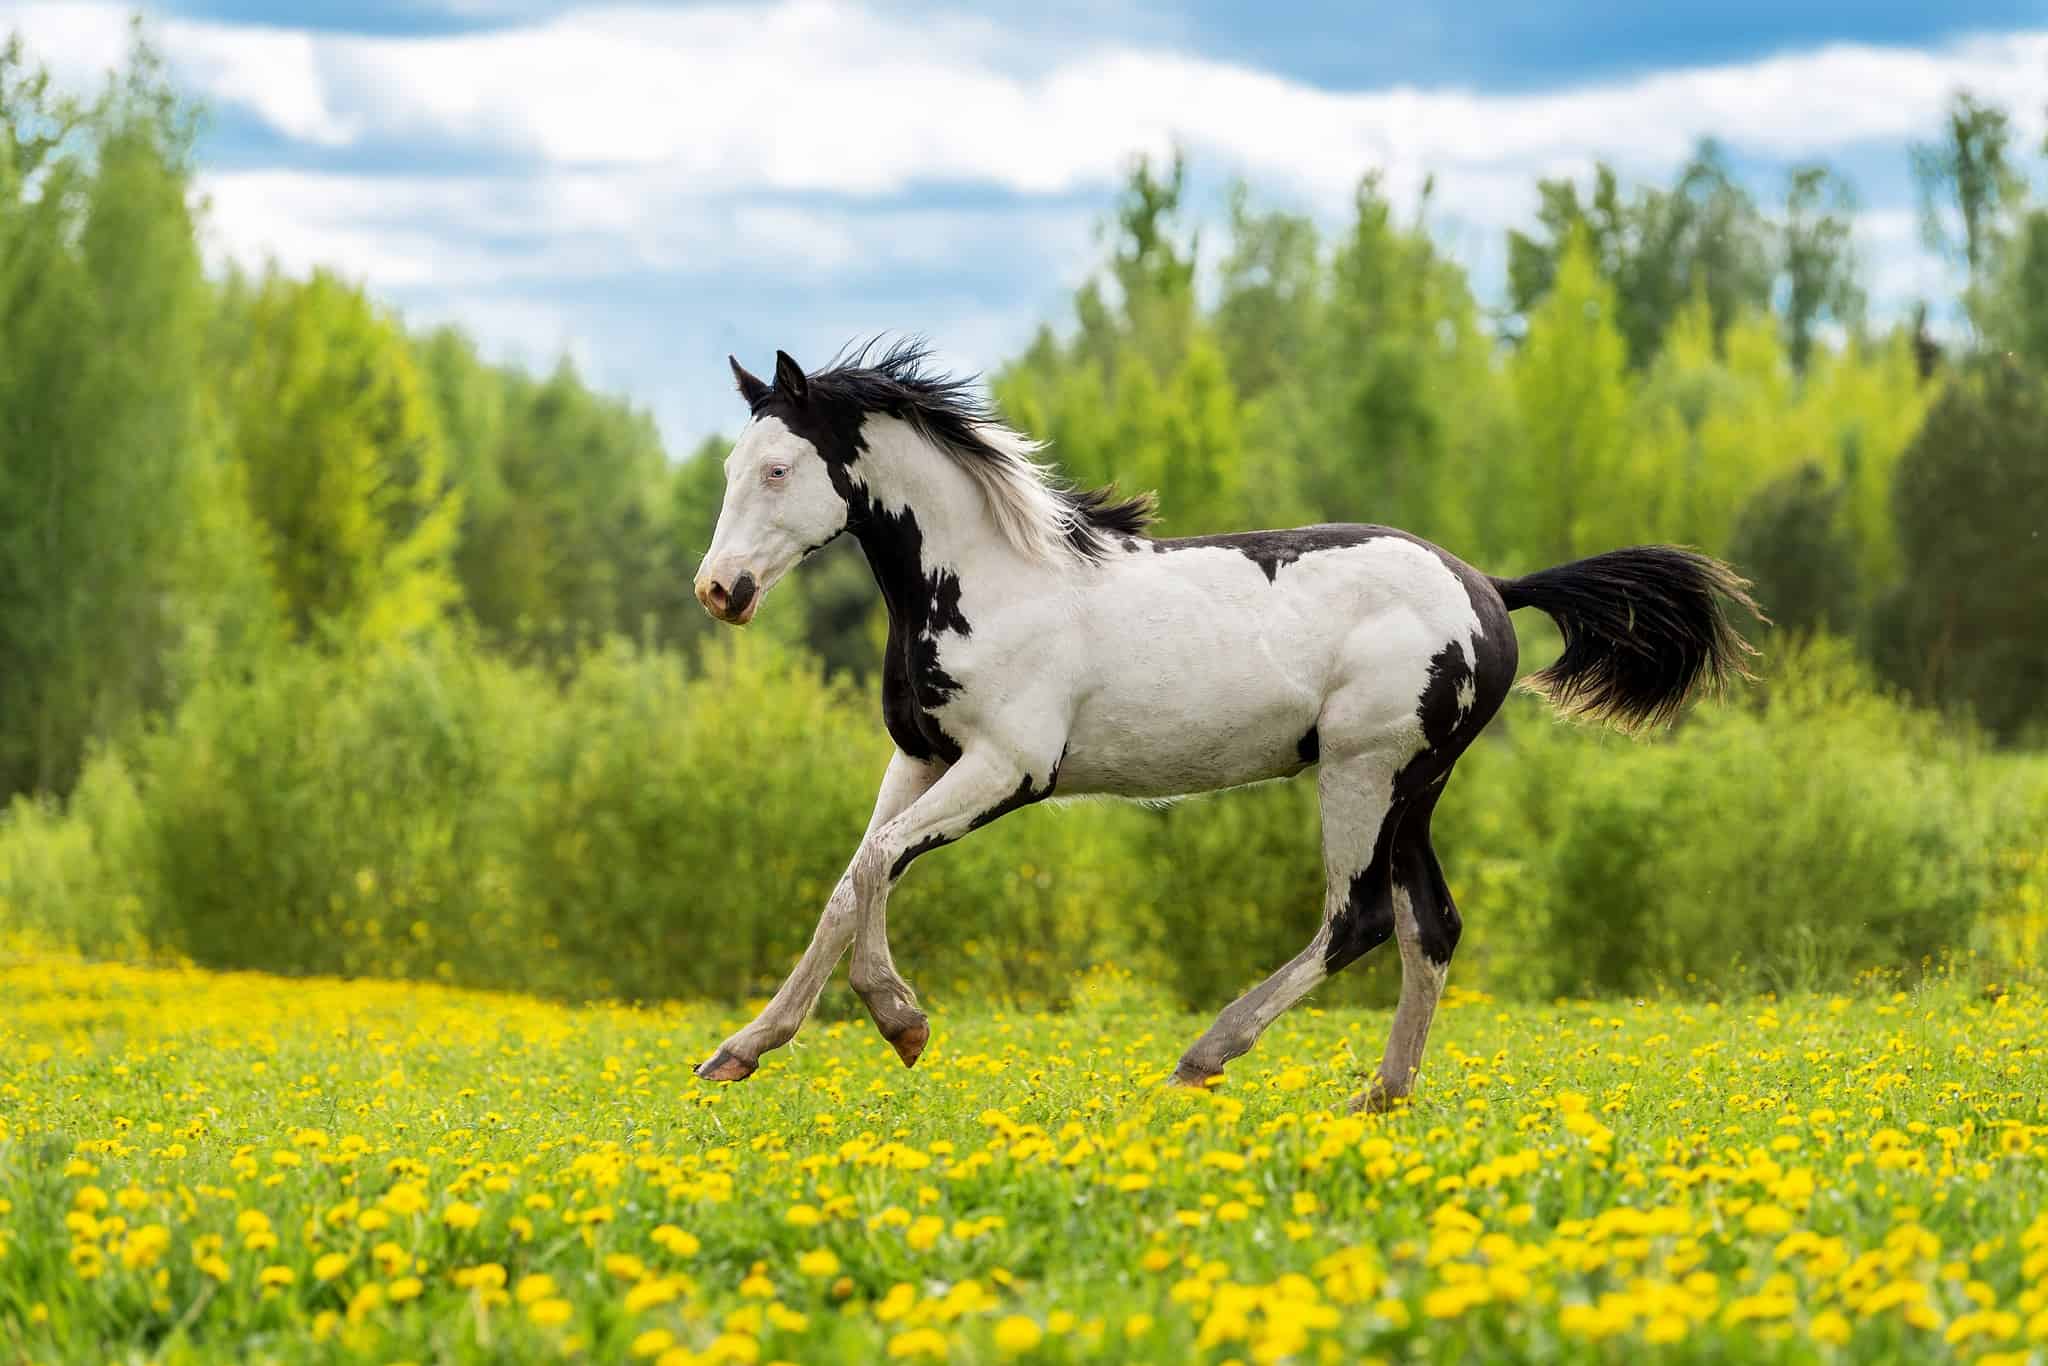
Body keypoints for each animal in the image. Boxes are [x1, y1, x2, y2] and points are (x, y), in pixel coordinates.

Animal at [690, 340, 1759, 1111]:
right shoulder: (921, 759)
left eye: (778, 468)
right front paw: (740, 1050)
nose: (719, 590)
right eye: (733, 467)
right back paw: (1381, 1096)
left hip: (1365, 773)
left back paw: (1207, 1055)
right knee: (1433, 926)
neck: (992, 582)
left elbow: (874, 867)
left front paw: (902, 1021)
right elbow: (849, 881)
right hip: (1414, 789)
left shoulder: (1009, 769)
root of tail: (1490, 588)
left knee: (1360, 919)